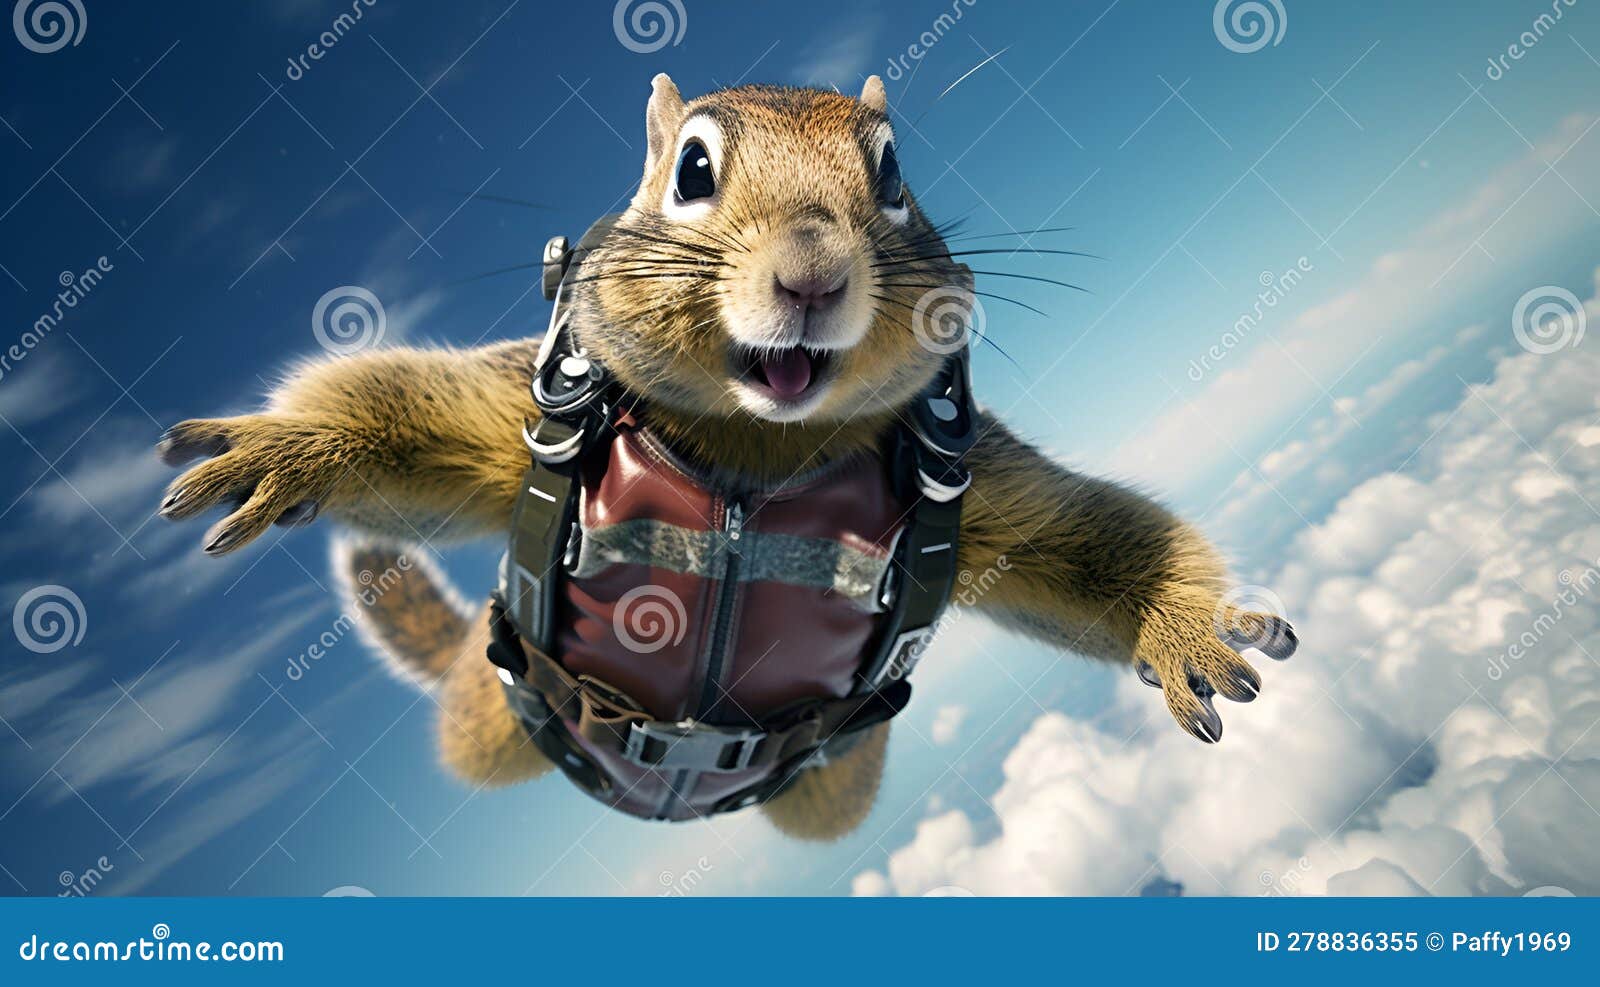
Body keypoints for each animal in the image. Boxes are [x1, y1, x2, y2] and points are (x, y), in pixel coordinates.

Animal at [155, 75, 1296, 839]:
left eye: (893, 172)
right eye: (691, 168)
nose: (812, 274)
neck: (757, 450)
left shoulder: (969, 488)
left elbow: (1086, 544)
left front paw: (1182, 626)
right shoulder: (533, 414)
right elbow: (409, 427)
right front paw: (289, 448)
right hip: (487, 720)